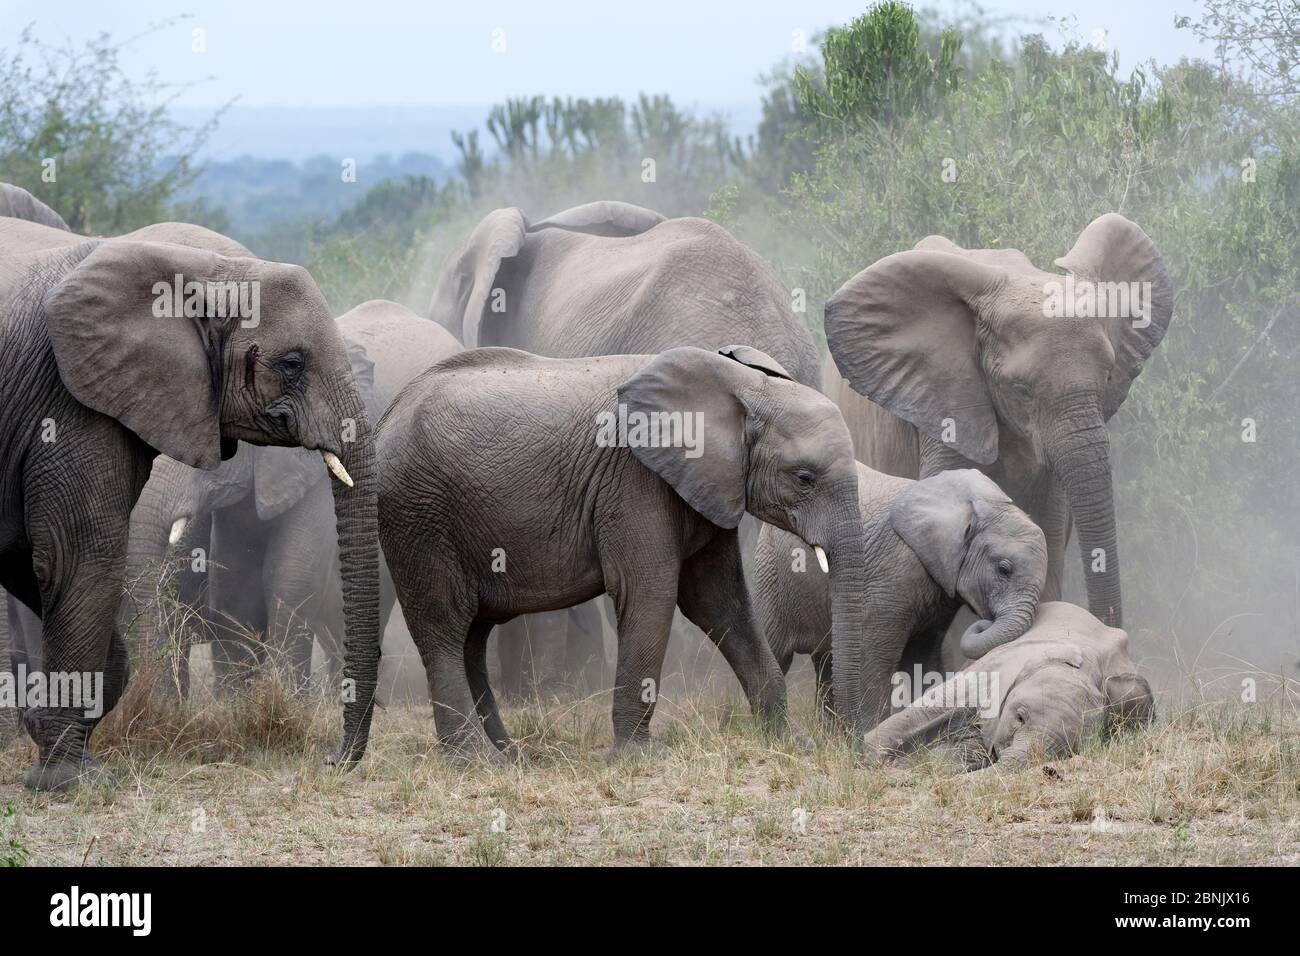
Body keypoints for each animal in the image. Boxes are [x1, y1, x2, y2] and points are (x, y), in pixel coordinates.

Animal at [0, 186, 381, 789]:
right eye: (292, 363)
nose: (332, 759)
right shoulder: (65, 404)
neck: (203, 270)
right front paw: (70, 779)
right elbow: (73, 555)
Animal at [372, 345, 869, 763]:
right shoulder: (634, 482)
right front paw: (640, 758)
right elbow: (650, 594)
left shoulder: (705, 487)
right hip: (420, 516)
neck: (738, 385)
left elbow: (720, 603)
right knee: (443, 628)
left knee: (472, 637)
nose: (852, 749)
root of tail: (387, 415)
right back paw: (477, 761)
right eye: (804, 478)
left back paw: (509, 754)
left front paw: (792, 744)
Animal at [755, 466, 1047, 726]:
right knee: (777, 651)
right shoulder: (892, 573)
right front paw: (866, 739)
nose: (986, 621)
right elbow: (871, 657)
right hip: (771, 573)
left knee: (826, 663)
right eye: (1004, 569)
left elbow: (923, 659)